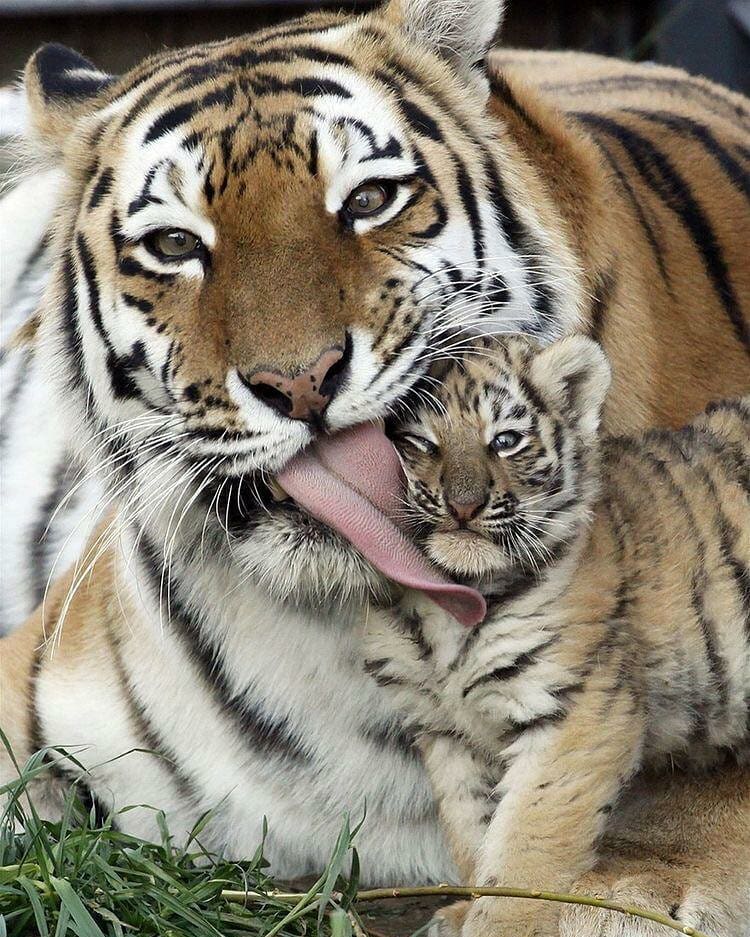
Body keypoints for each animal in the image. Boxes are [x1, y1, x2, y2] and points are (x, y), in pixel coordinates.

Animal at [364, 334, 750, 936]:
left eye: (505, 440)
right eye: (418, 442)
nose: (463, 506)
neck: (451, 598)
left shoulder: (578, 706)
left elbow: (528, 841)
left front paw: (502, 925)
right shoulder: (445, 729)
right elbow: (472, 830)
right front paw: (464, 911)